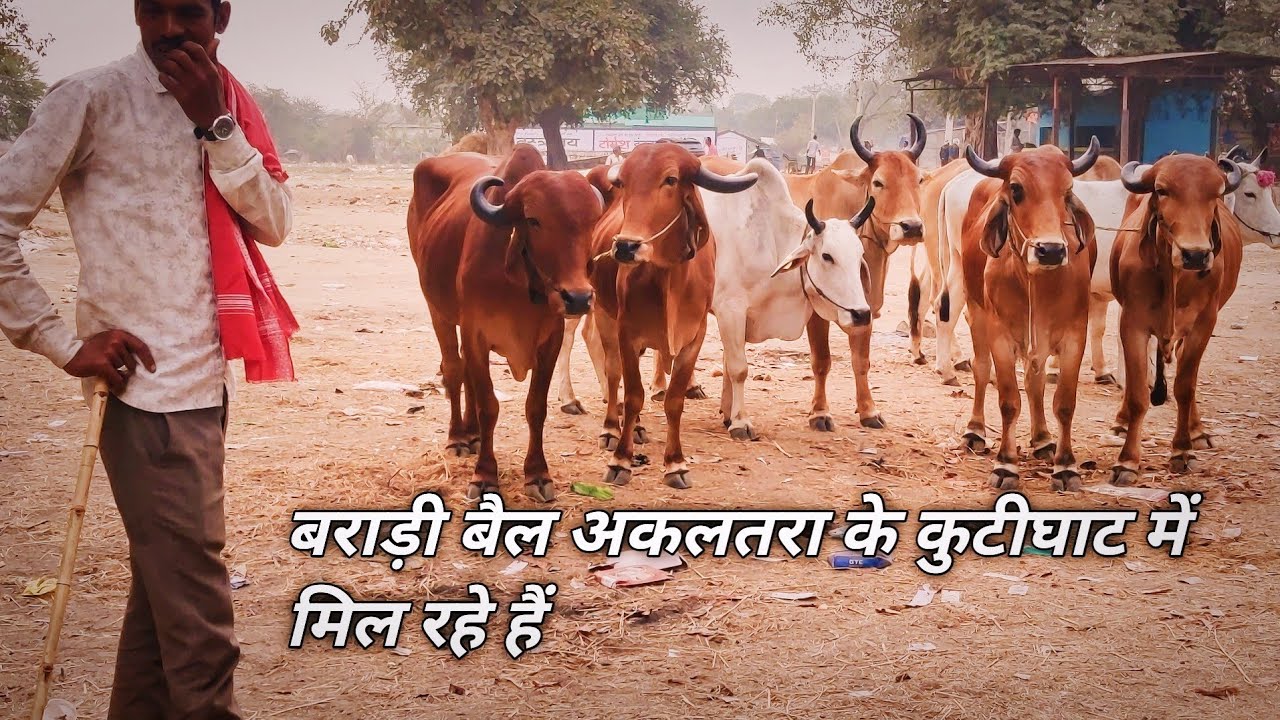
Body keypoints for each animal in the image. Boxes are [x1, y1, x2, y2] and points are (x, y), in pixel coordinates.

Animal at [409, 145, 603, 502]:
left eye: (592, 222)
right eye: (534, 220)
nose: (578, 298)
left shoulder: (550, 341)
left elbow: (535, 407)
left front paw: (537, 474)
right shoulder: (476, 333)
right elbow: (489, 406)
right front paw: (485, 474)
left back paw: (472, 434)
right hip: (438, 310)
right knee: (454, 368)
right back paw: (459, 437)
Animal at [590, 141, 757, 489]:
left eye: (670, 180)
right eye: (624, 182)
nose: (626, 247)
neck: (666, 278)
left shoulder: (694, 337)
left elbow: (674, 401)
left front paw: (676, 463)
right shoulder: (627, 332)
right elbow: (634, 394)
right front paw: (621, 460)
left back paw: (638, 428)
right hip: (603, 316)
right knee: (614, 375)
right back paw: (613, 428)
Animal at [948, 139, 1101, 491]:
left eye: (1067, 190)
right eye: (1016, 189)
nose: (1051, 250)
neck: (1036, 279)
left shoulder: (1075, 335)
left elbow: (1064, 402)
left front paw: (1066, 465)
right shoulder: (1000, 336)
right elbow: (1008, 401)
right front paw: (1005, 464)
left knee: (1035, 382)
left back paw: (1043, 439)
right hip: (975, 310)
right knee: (980, 369)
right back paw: (975, 431)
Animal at [1108, 155, 1243, 484]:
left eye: (1216, 194)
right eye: (1162, 190)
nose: (1195, 255)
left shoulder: (1203, 325)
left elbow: (1185, 387)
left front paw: (1182, 450)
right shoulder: (1132, 324)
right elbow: (1137, 394)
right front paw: (1127, 460)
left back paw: (1197, 431)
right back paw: (1121, 421)